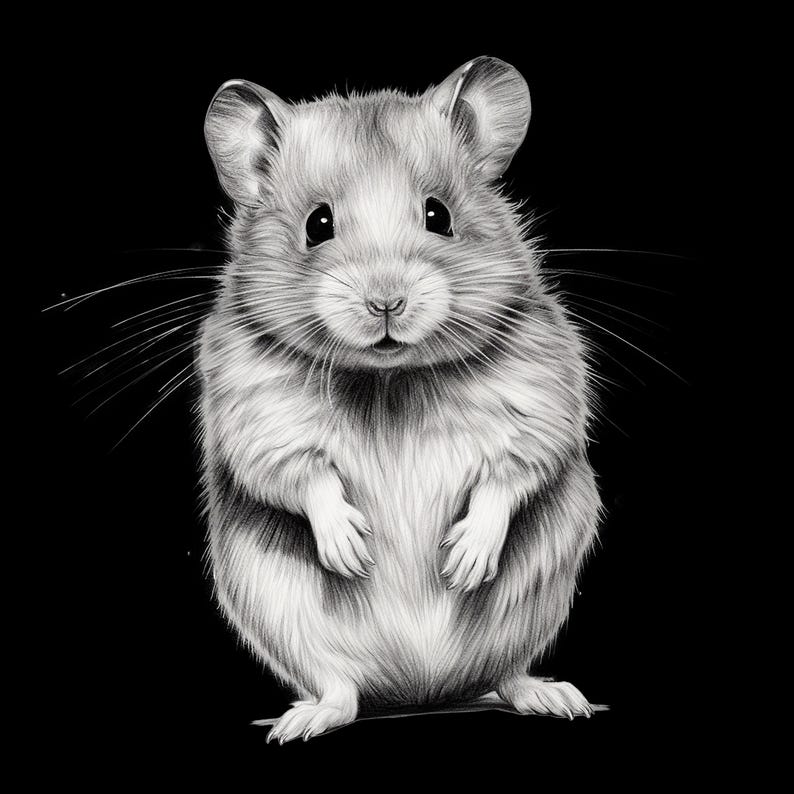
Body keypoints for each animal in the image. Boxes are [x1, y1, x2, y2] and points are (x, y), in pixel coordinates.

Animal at [199, 56, 601, 743]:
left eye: (438, 214)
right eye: (318, 224)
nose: (386, 302)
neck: (390, 380)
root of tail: (423, 689)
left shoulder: (541, 403)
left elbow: (511, 472)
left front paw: (462, 562)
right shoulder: (256, 418)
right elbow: (303, 475)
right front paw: (352, 551)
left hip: (534, 605)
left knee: (509, 671)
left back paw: (556, 697)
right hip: (283, 614)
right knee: (340, 688)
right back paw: (299, 723)